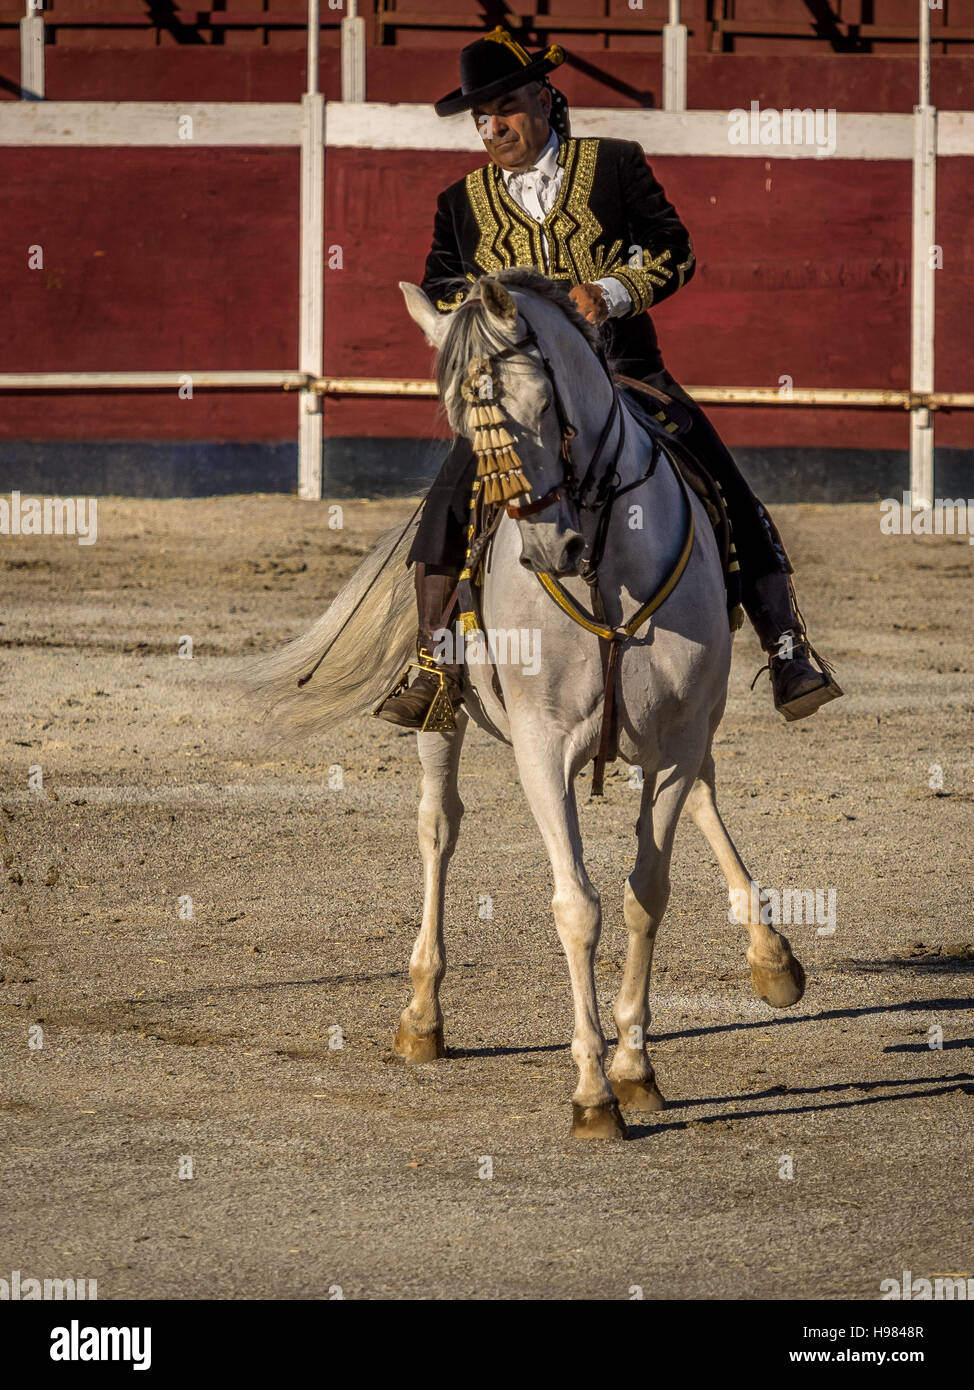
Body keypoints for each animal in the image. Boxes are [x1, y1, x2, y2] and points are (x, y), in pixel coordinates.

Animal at [248, 267, 805, 1140]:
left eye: (544, 402)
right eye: (458, 420)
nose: (548, 548)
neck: (604, 556)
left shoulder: (680, 737)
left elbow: (646, 891)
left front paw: (635, 1067)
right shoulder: (546, 747)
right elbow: (577, 906)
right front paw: (594, 1091)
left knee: (705, 797)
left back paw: (771, 956)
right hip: (440, 721)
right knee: (438, 828)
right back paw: (422, 1015)